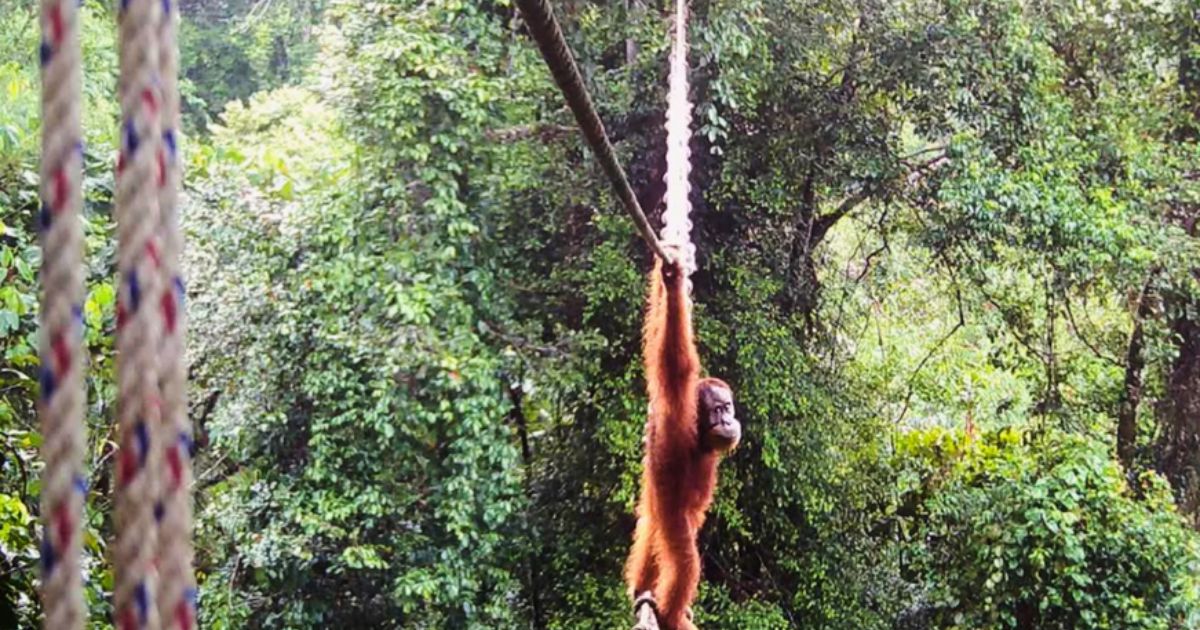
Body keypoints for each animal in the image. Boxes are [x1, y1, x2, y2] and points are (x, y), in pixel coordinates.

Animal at [624, 248, 740, 630]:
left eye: (729, 407)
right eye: (718, 410)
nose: (729, 420)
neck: (700, 437)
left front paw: (668, 279)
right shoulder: (678, 410)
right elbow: (675, 362)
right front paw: (674, 284)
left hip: (653, 509)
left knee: (649, 534)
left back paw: (642, 592)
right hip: (670, 518)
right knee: (685, 561)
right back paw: (671, 614)